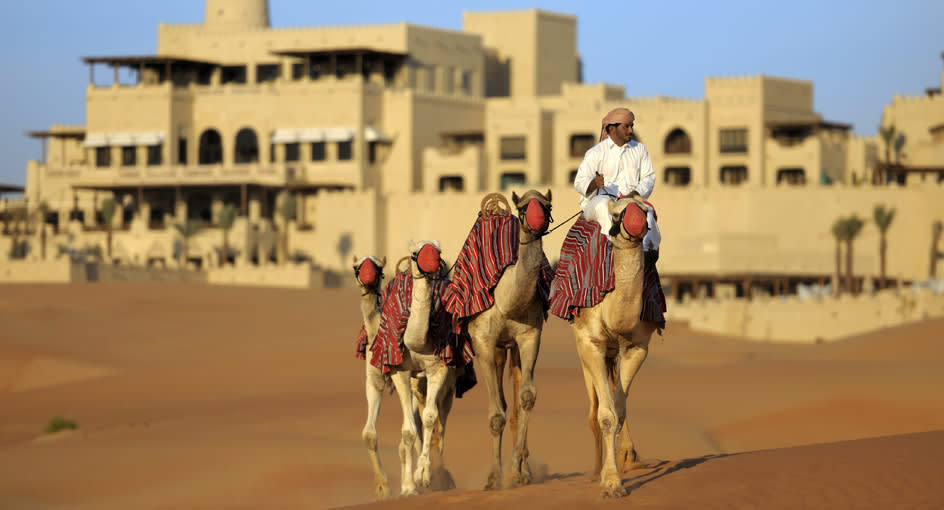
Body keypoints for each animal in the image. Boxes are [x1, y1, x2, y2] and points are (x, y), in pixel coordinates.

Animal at [352, 255, 419, 499]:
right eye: (356, 266)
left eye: (379, 267)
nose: (368, 278)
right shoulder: (373, 381)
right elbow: (368, 434)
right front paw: (383, 487)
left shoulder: (405, 377)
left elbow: (409, 433)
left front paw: (409, 486)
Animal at [464, 190, 553, 490]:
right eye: (523, 207)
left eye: (547, 205)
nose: (538, 222)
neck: (506, 299)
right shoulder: (484, 342)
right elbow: (495, 415)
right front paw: (493, 477)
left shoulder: (529, 336)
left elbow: (526, 398)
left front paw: (516, 469)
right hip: (495, 350)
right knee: (501, 405)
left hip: (511, 348)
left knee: (514, 404)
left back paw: (523, 470)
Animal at [570, 197, 656, 498]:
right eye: (617, 214)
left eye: (646, 210)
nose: (637, 224)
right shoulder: (591, 344)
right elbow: (606, 416)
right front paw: (609, 482)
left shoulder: (637, 348)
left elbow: (619, 412)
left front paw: (616, 476)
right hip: (582, 350)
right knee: (593, 410)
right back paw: (596, 471)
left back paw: (628, 456)